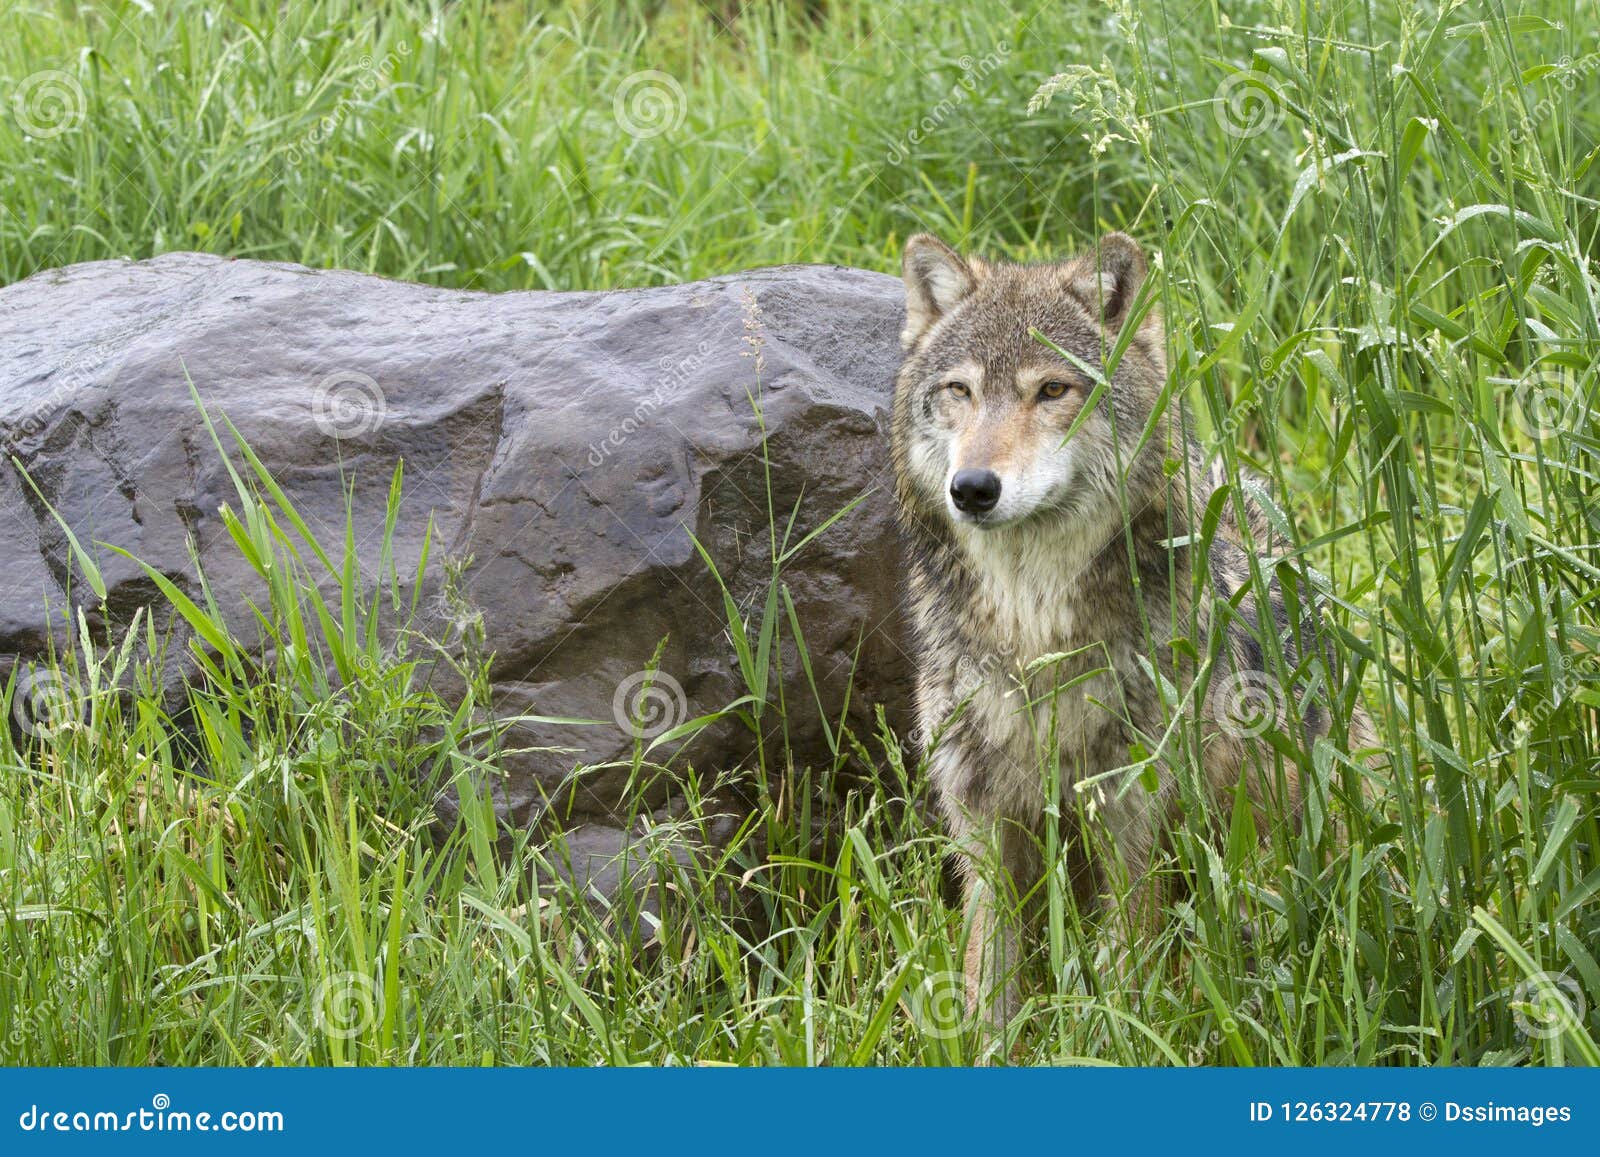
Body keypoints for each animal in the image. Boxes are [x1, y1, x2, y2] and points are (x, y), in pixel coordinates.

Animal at [889, 230, 1367, 1044]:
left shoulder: (1130, 825)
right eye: (960, 391)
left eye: (1052, 390)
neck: (1034, 638)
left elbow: (1122, 986)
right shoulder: (985, 832)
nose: (973, 487)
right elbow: (988, 990)